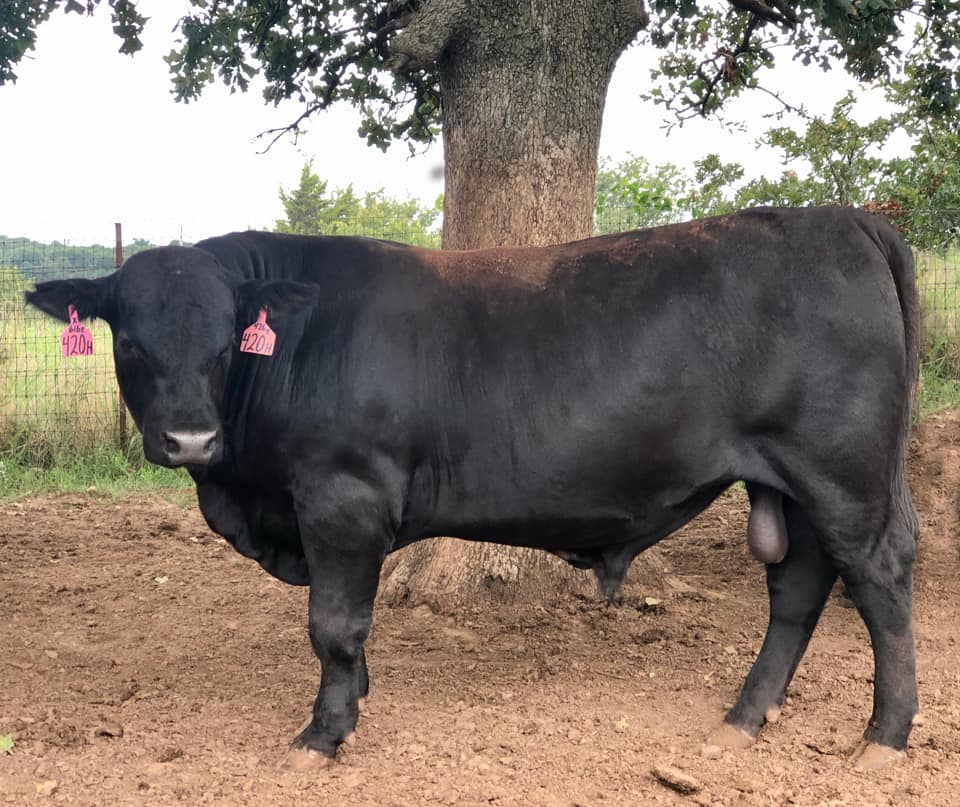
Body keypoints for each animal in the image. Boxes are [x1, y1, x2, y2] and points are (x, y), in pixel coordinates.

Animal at [26, 206, 919, 770]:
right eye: (130, 340)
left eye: (225, 340)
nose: (189, 438)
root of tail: (846, 216)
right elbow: (346, 627)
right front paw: (356, 698)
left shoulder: (342, 496)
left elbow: (333, 622)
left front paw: (325, 731)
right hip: (795, 485)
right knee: (798, 586)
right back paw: (743, 719)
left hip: (842, 474)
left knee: (876, 580)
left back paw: (884, 736)